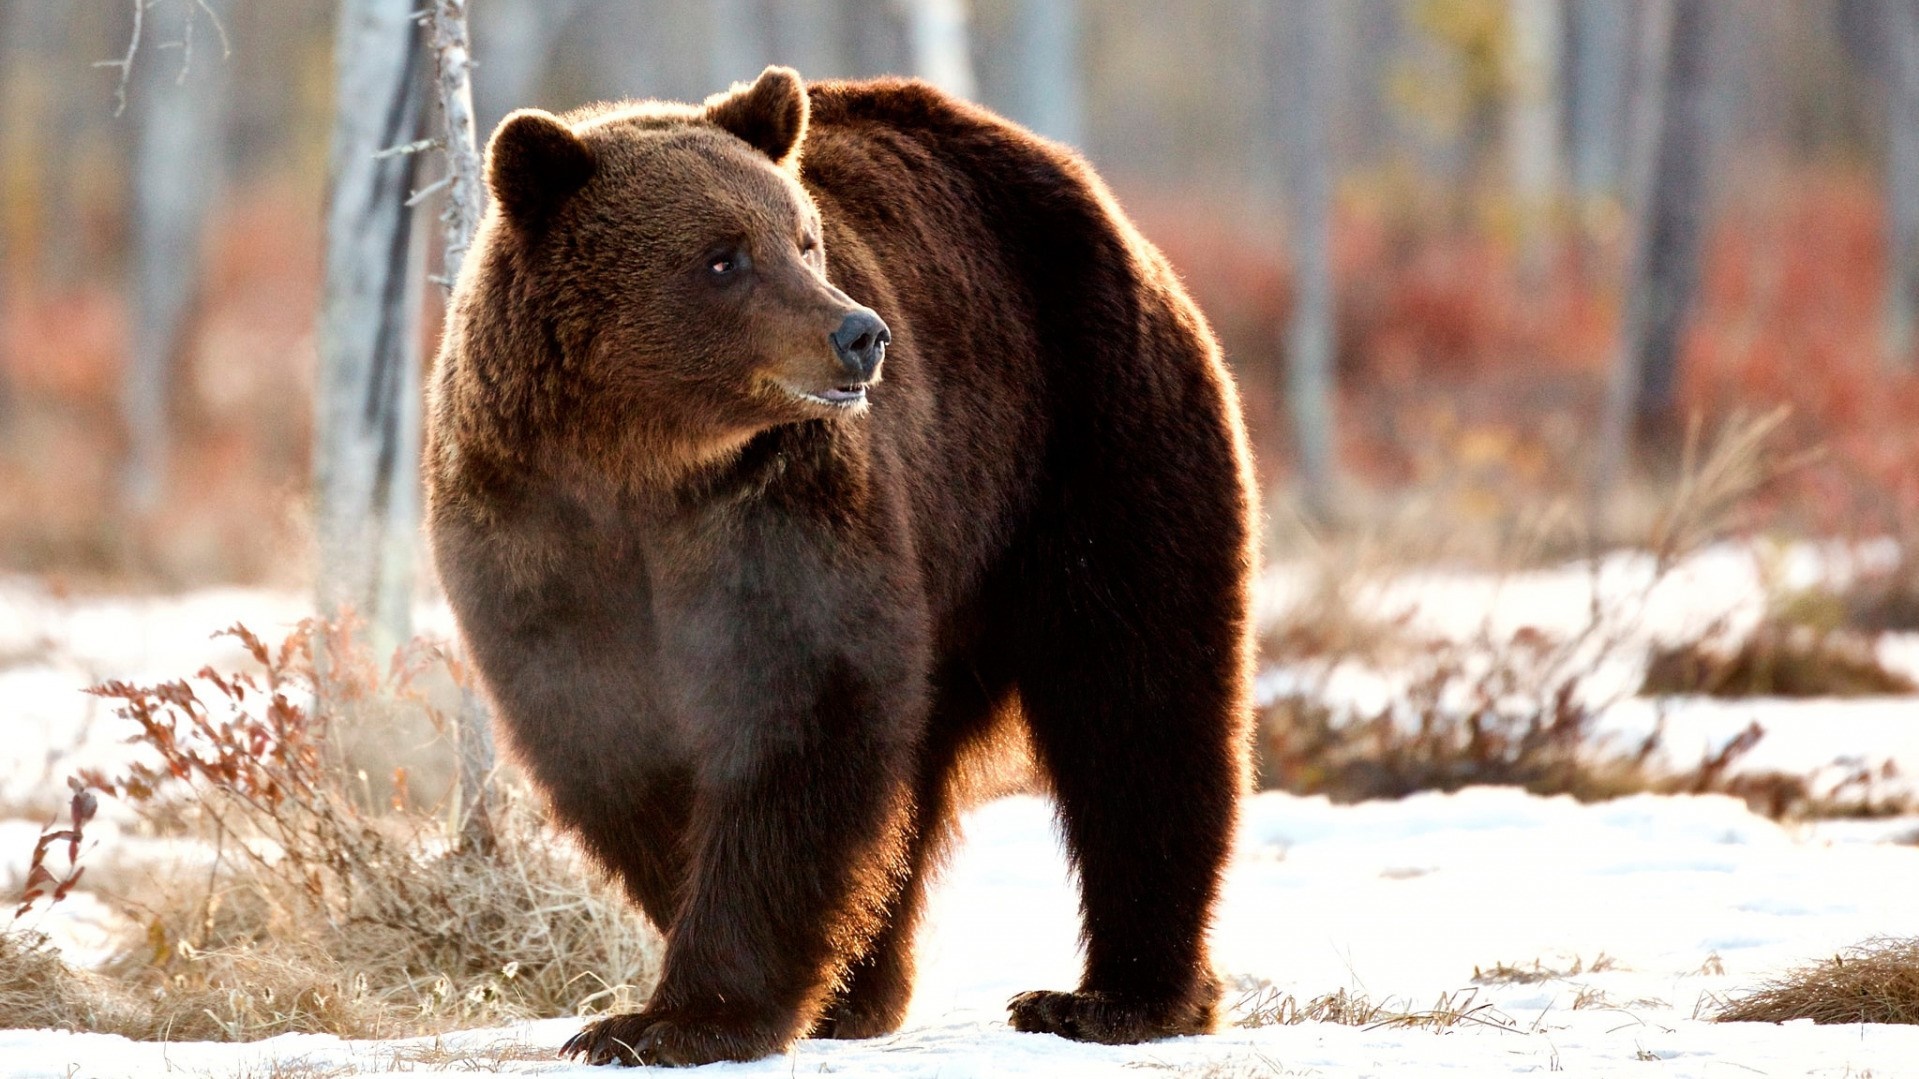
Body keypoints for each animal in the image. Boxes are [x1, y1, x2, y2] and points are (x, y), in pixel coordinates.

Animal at [424, 66, 1256, 1067]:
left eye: (803, 238)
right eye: (721, 257)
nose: (860, 334)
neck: (642, 471)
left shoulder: (781, 510)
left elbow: (801, 716)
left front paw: (683, 1015)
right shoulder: (536, 540)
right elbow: (616, 742)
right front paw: (736, 990)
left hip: (1090, 438)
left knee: (1138, 696)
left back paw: (1111, 996)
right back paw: (875, 983)